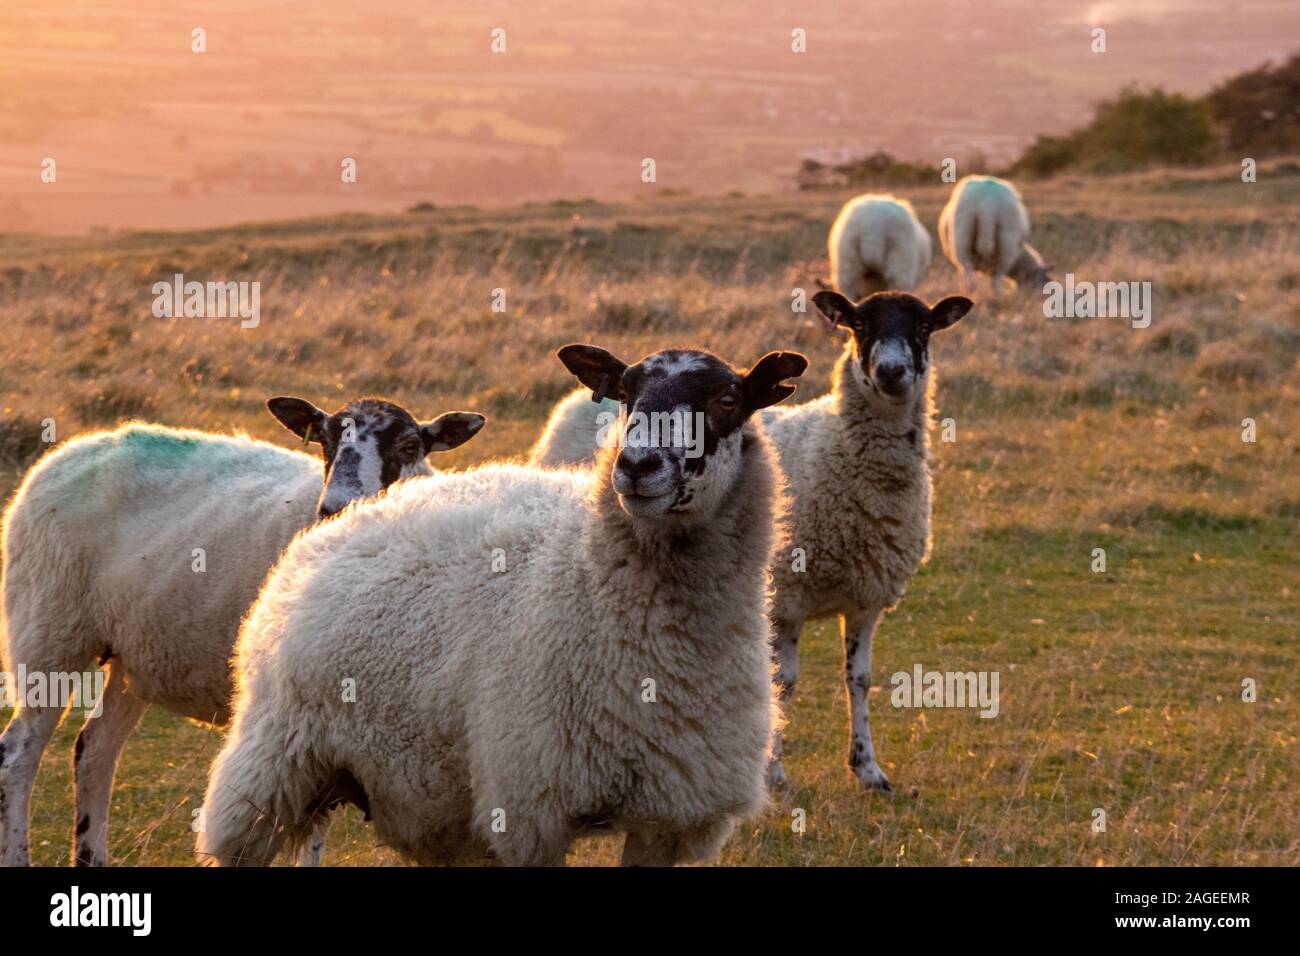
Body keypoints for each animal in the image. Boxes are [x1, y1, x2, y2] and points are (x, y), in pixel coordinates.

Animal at [0, 397, 485, 867]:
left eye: (409, 446)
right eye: (325, 441)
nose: (337, 506)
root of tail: (74, 448)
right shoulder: (305, 709)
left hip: (132, 656)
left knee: (94, 749)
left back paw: (91, 857)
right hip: (48, 630)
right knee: (18, 754)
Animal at [197, 344, 808, 867]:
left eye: (728, 398)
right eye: (626, 393)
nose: (637, 466)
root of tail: (359, 511)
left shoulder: (670, 814)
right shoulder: (530, 806)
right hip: (272, 764)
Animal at [526, 292, 973, 792]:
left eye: (924, 327)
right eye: (859, 324)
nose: (891, 372)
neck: (841, 452)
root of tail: (573, 401)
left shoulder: (866, 599)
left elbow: (859, 680)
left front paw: (869, 769)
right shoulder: (787, 602)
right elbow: (783, 683)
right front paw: (773, 772)